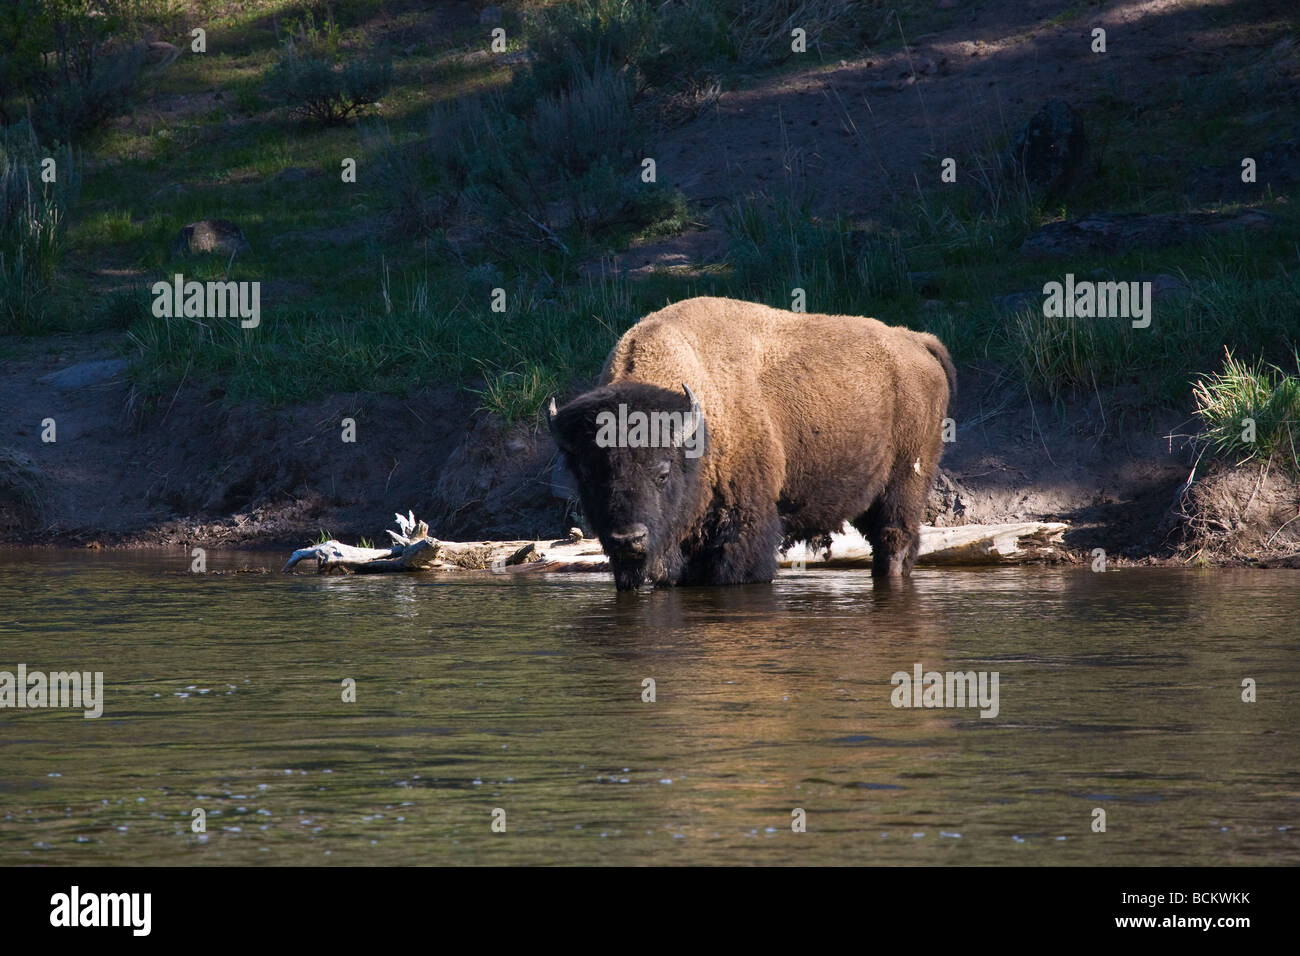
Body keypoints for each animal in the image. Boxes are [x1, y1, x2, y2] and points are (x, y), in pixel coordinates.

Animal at [547, 297, 956, 589]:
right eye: (587, 475)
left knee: (894, 539)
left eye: (662, 473)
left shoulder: (743, 528)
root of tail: (916, 342)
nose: (628, 539)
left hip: (906, 480)